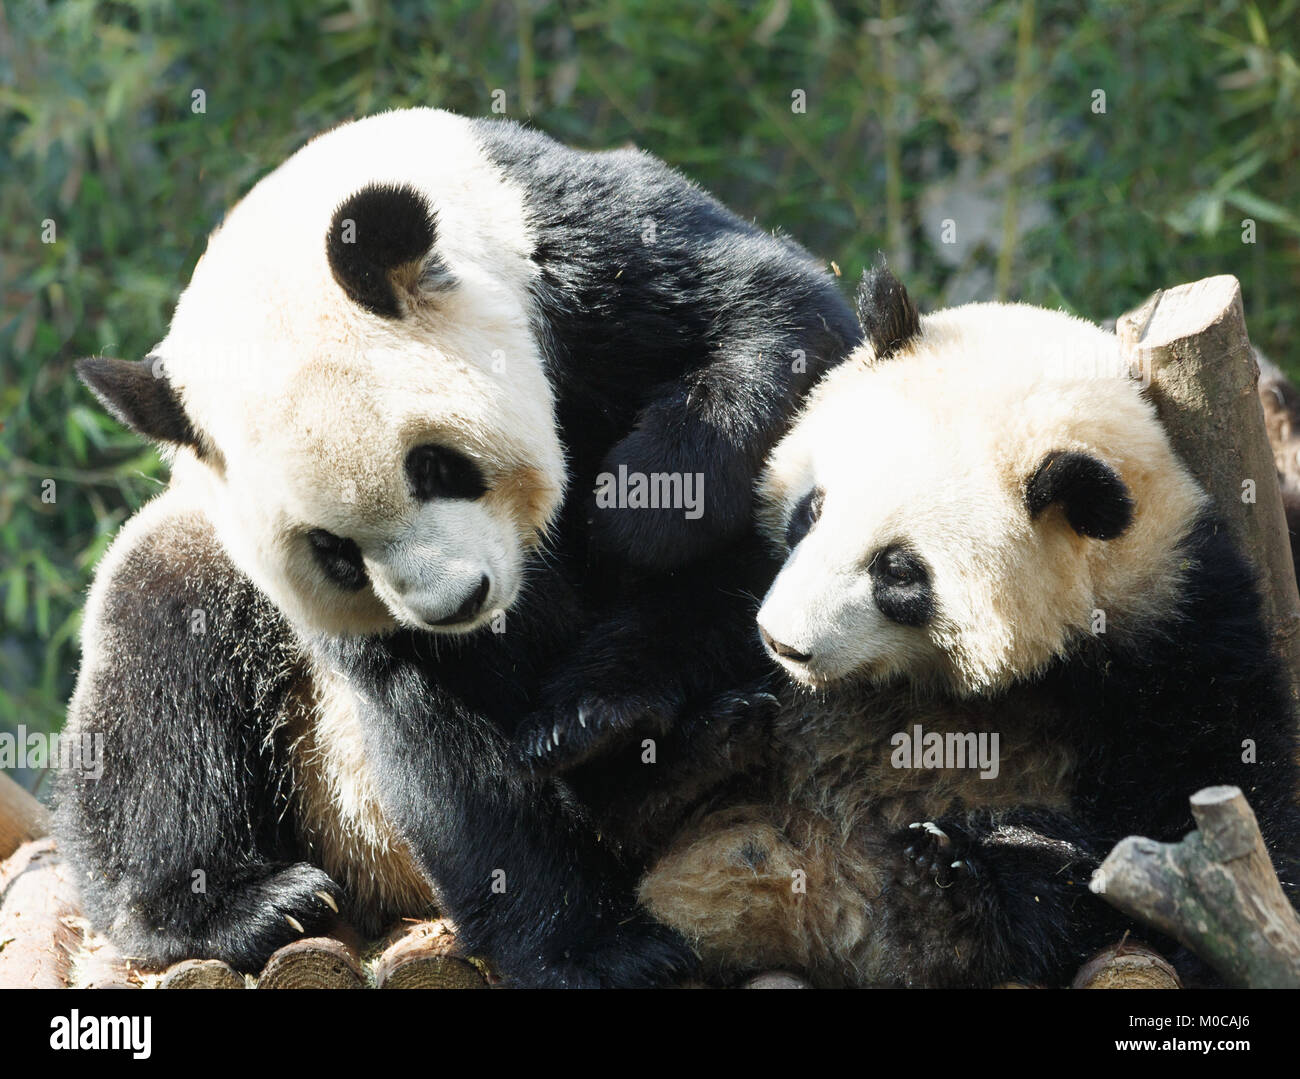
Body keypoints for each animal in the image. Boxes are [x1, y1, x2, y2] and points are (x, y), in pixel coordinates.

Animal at [57, 108, 860, 987]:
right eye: (333, 549)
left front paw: (632, 510)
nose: (457, 603)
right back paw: (245, 906)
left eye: (436, 466)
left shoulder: (585, 248)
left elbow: (772, 316)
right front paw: (600, 951)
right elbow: (447, 749)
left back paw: (623, 719)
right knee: (155, 669)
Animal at [638, 267, 1300, 987]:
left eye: (899, 572)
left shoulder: (1177, 626)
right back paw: (706, 754)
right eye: (810, 511)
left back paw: (952, 883)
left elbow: (1207, 785)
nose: (782, 643)